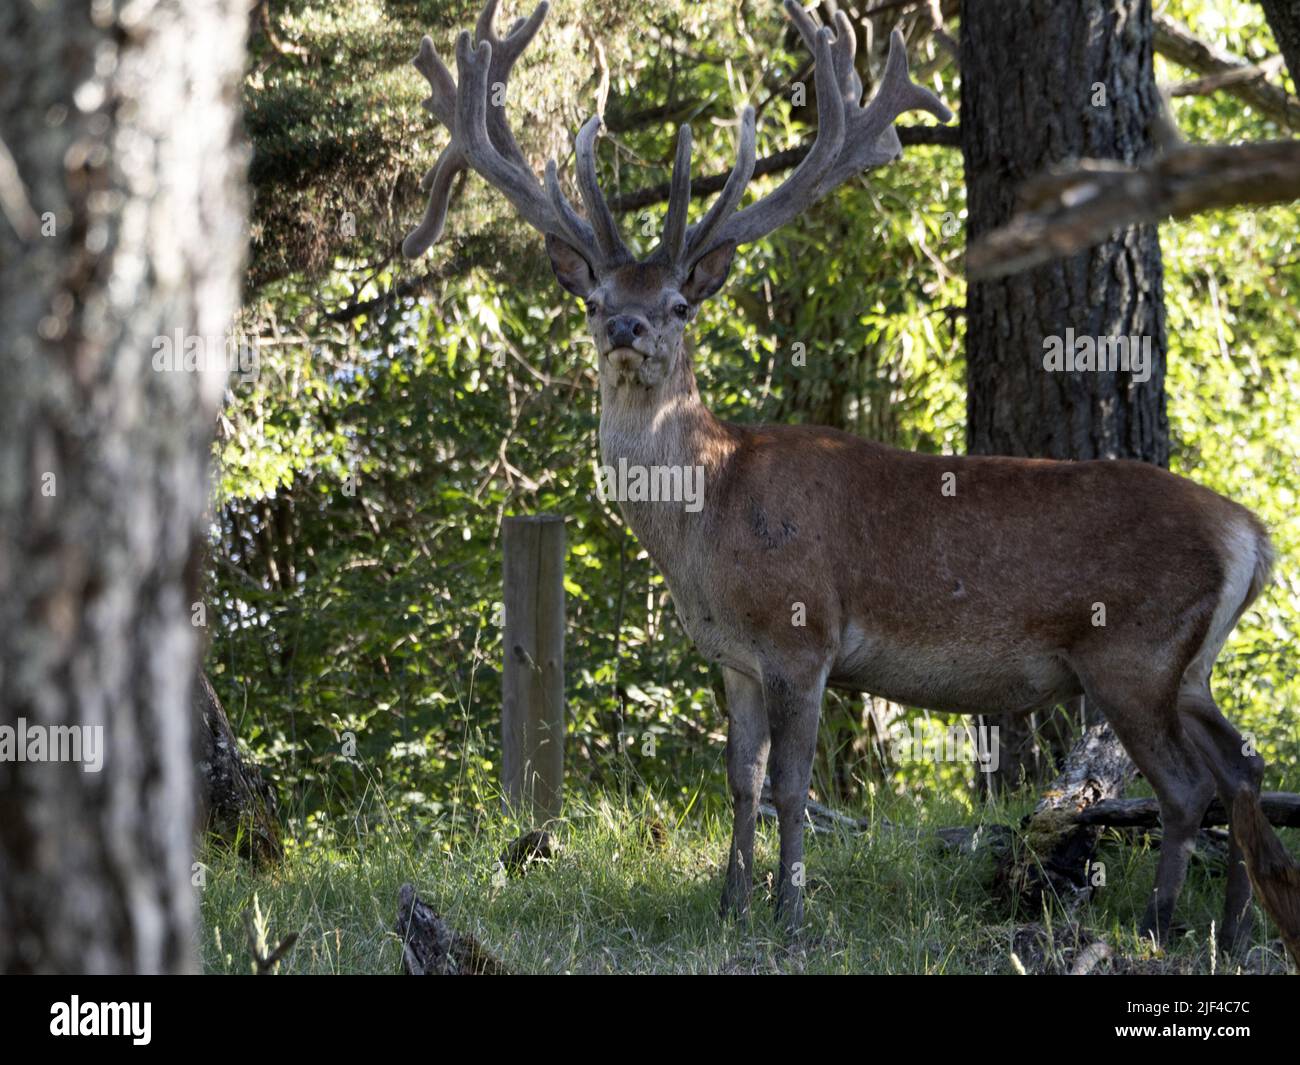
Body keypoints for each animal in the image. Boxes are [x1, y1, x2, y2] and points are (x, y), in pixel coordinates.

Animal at [403, 0, 1288, 950]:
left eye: (679, 302)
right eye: (597, 298)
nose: (628, 329)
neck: (707, 522)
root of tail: (1253, 533)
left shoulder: (802, 632)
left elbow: (793, 786)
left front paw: (789, 912)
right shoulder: (733, 656)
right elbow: (742, 782)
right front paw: (729, 904)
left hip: (1133, 649)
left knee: (1189, 785)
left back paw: (1163, 922)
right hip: (1186, 663)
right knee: (1242, 764)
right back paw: (1236, 924)